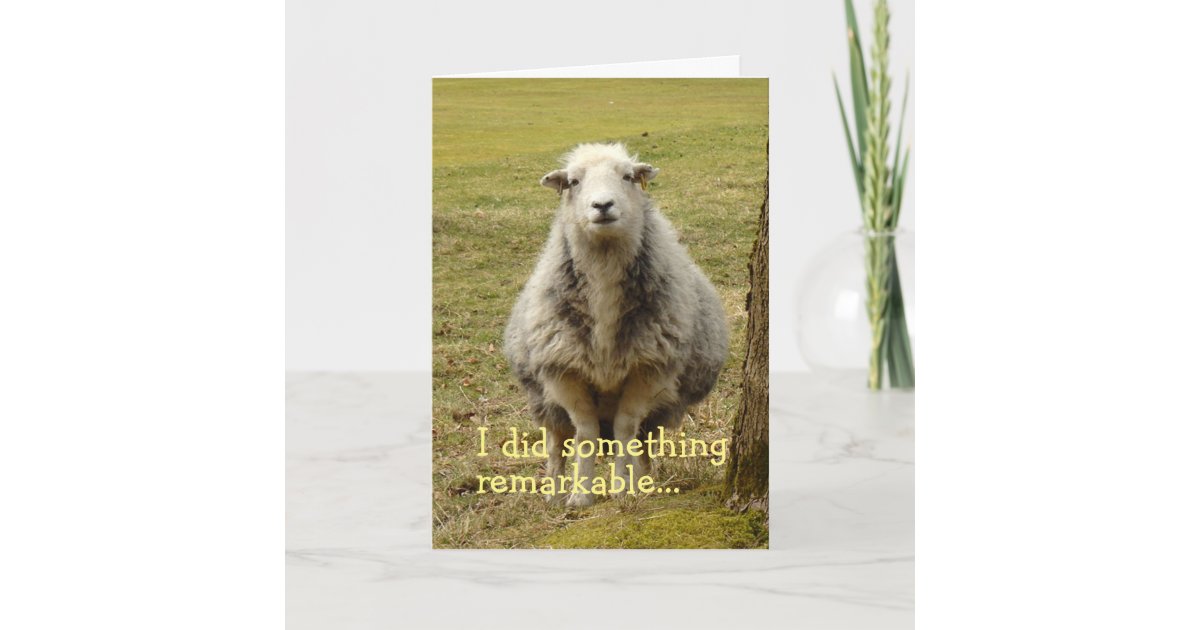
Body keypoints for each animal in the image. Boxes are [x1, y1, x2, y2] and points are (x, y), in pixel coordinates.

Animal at [503, 142, 729, 507]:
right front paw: (580, 496)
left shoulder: (648, 370)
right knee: (555, 440)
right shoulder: (565, 372)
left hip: (658, 407)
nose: (602, 206)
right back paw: (553, 490)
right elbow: (585, 434)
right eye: (573, 181)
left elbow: (625, 430)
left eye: (627, 177)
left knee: (641, 442)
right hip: (543, 397)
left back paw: (644, 481)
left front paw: (623, 489)